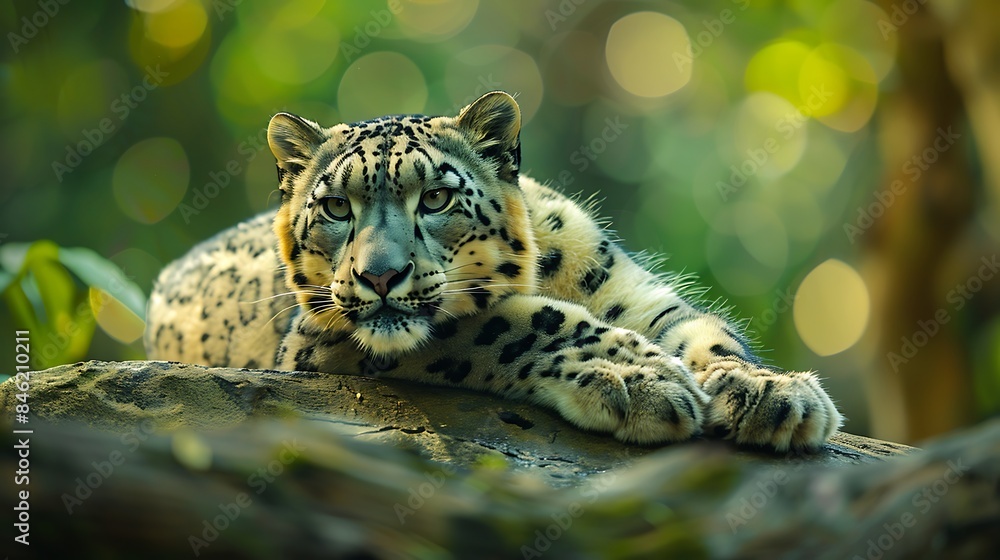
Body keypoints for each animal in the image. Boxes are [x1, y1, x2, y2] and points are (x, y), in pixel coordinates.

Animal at [145, 91, 841, 452]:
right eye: (337, 207)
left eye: (435, 198)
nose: (380, 276)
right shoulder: (319, 340)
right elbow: (508, 322)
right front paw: (636, 378)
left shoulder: (631, 292)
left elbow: (702, 331)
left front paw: (774, 392)